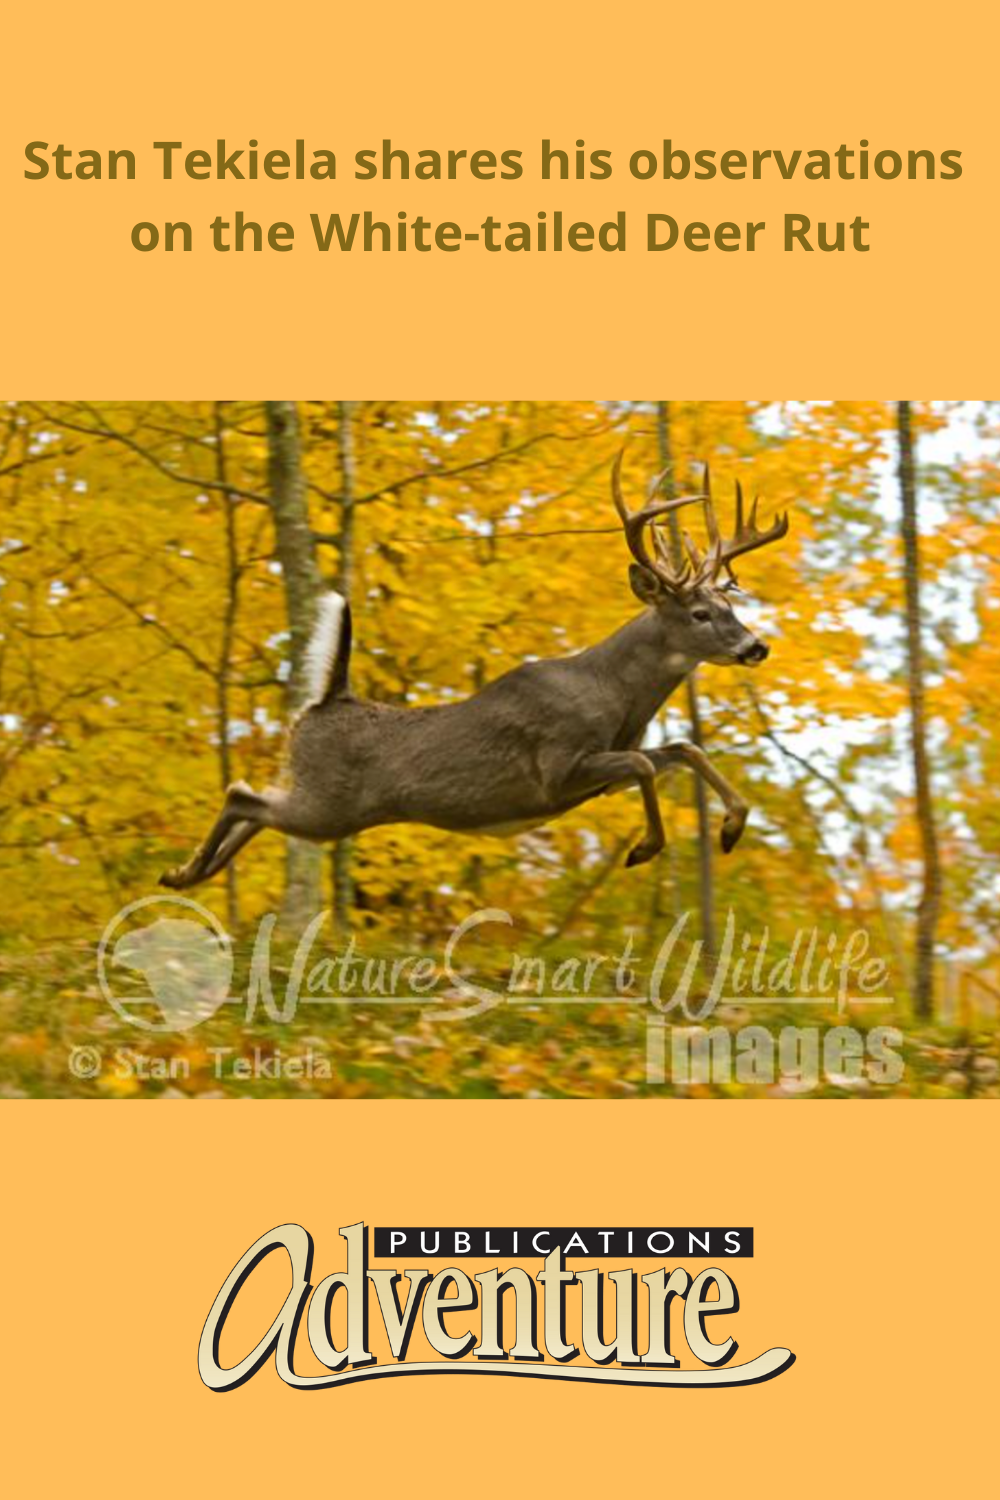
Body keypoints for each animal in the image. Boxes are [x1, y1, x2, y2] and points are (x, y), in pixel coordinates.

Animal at [159, 454, 789, 890]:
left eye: (730, 604)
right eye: (700, 613)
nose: (756, 647)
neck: (612, 696)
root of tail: (328, 699)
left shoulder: (605, 767)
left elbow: (682, 748)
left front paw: (732, 827)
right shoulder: (556, 769)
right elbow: (645, 763)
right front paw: (645, 848)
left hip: (324, 805)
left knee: (258, 806)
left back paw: (191, 873)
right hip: (328, 805)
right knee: (243, 795)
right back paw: (185, 873)